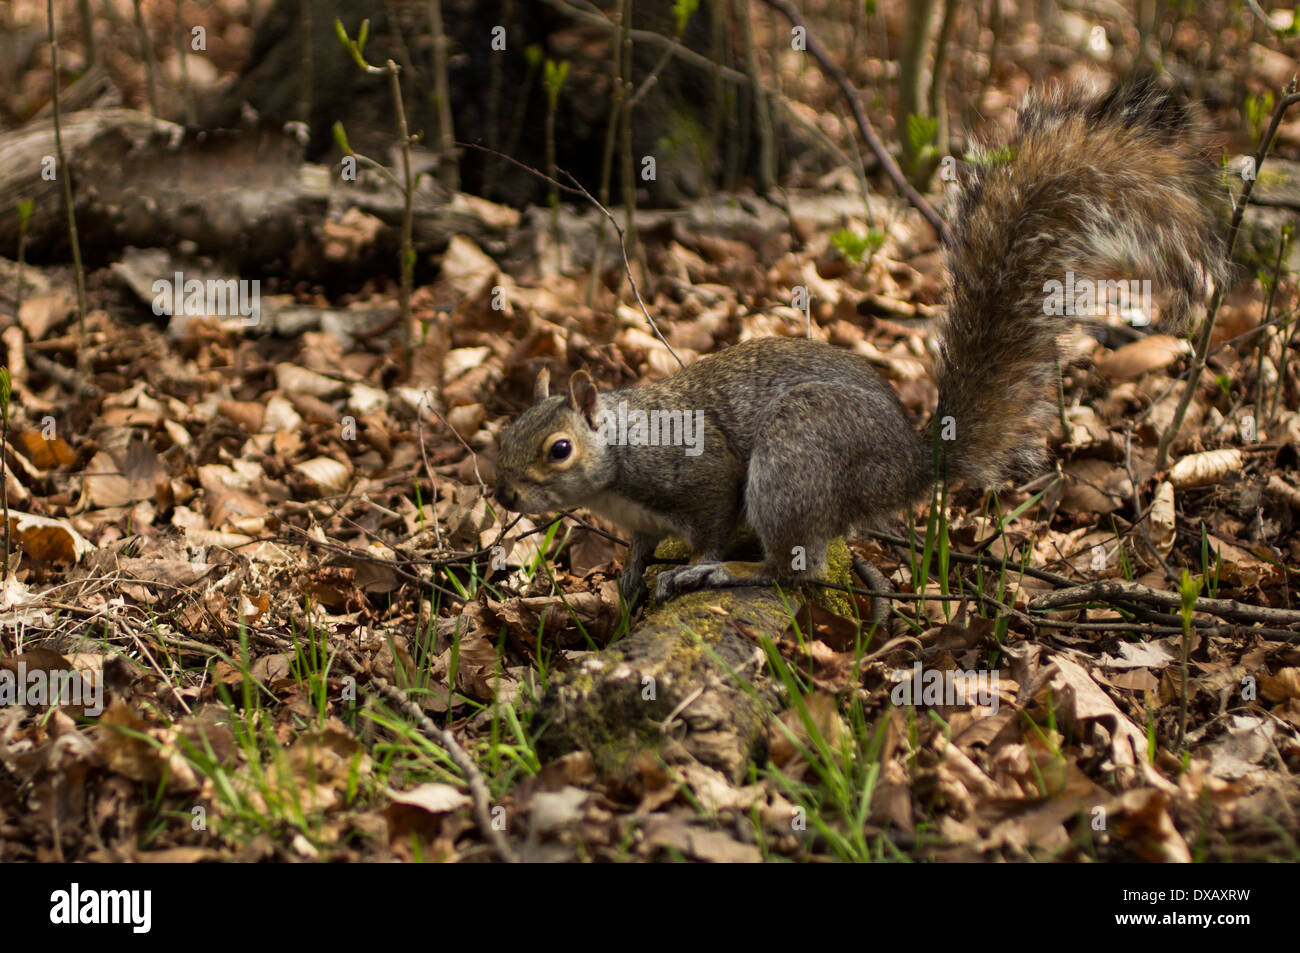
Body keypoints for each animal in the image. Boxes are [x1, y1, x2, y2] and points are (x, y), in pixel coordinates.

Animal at [494, 78, 1229, 604]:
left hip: (796, 458)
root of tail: (908, 464)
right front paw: (629, 570)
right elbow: (643, 543)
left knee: (797, 569)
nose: (501, 495)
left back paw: (734, 575)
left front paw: (693, 566)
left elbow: (710, 522)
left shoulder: (698, 471)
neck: (618, 453)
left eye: (558, 449)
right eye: (503, 433)